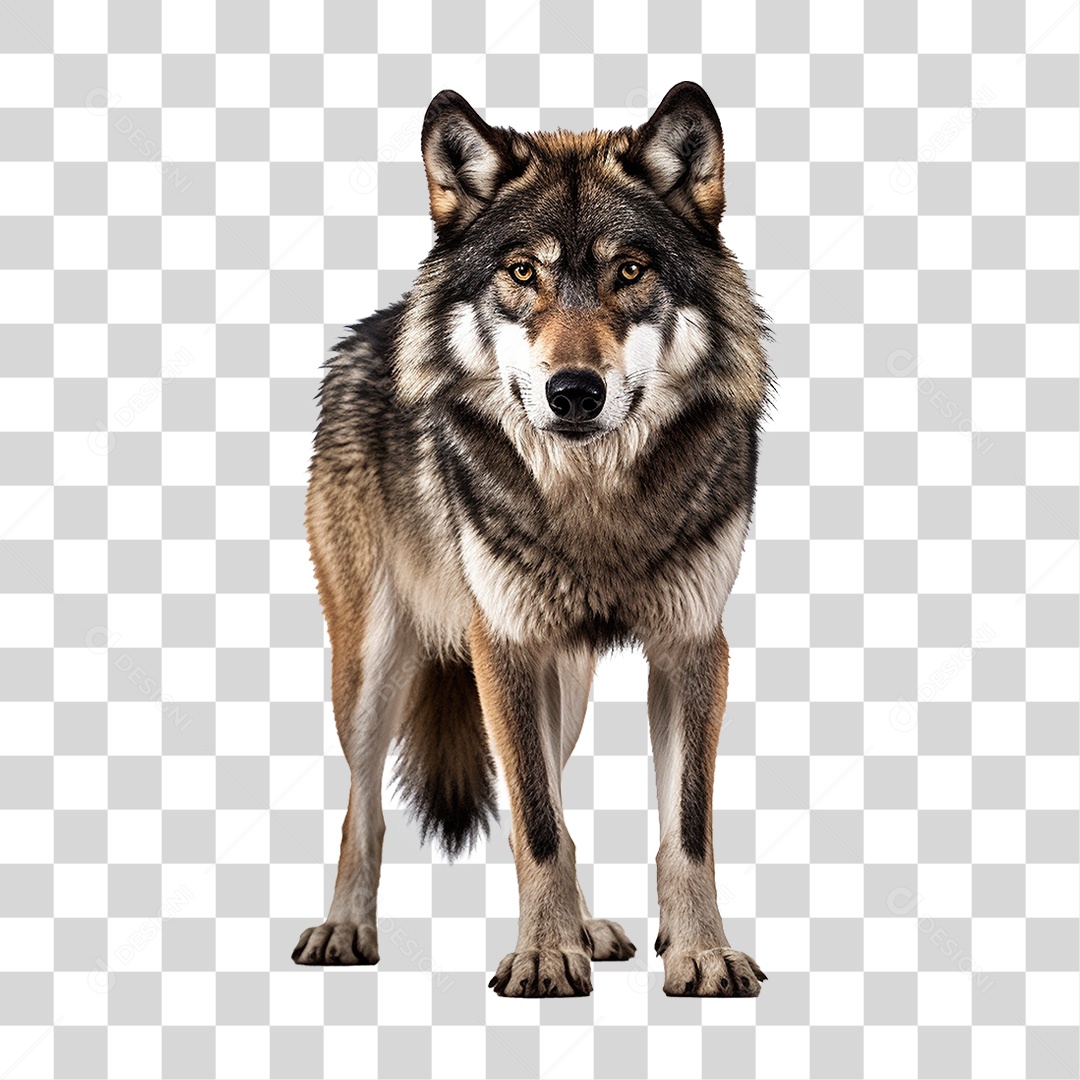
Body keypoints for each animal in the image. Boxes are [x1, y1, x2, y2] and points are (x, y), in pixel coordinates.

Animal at [294, 82, 772, 998]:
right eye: (523, 273)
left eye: (630, 271)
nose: (575, 392)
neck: (592, 502)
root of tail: (376, 326)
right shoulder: (503, 645)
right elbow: (538, 823)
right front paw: (546, 956)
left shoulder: (694, 646)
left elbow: (685, 829)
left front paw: (698, 953)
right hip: (372, 665)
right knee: (362, 807)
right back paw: (344, 929)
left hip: (568, 682)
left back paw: (590, 927)